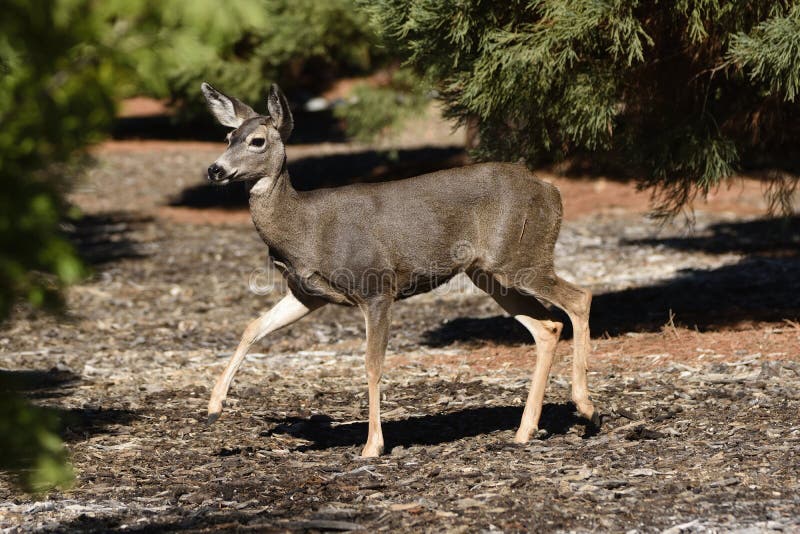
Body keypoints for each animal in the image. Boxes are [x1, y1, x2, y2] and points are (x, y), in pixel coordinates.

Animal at [201, 82, 600, 457]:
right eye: (227, 137)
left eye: (256, 141)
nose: (215, 169)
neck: (304, 228)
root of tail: (551, 190)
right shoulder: (308, 293)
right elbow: (253, 327)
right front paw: (214, 406)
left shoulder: (376, 286)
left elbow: (372, 364)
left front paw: (372, 446)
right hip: (488, 272)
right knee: (548, 327)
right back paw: (525, 430)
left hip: (519, 256)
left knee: (579, 297)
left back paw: (586, 408)